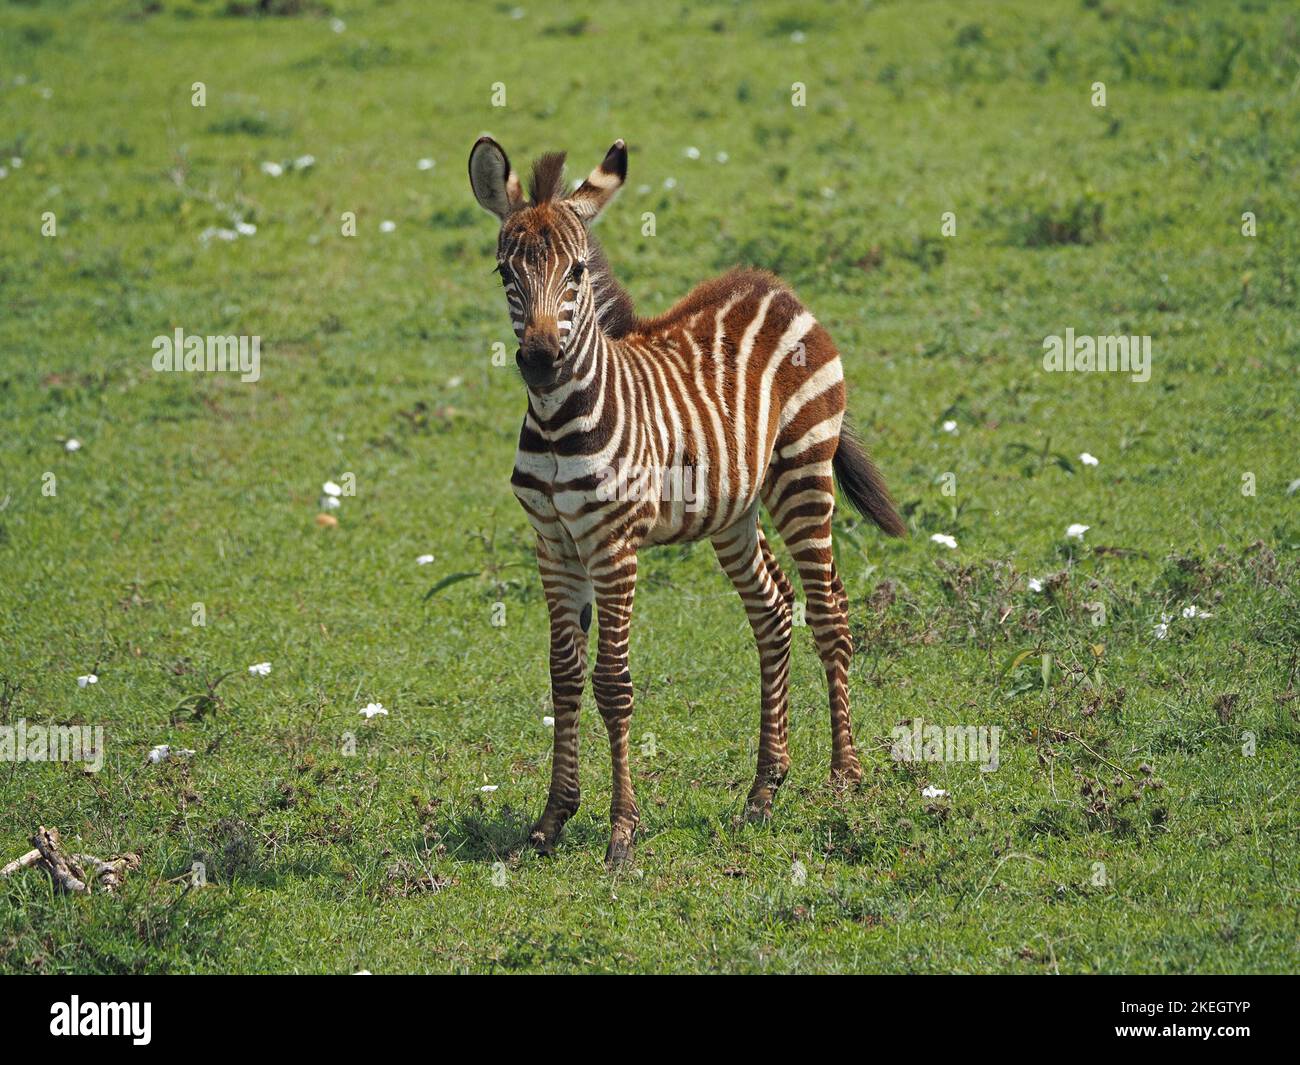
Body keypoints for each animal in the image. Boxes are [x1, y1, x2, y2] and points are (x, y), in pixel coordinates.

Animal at [468, 136, 906, 867]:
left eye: (576, 272)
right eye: (505, 270)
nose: (540, 361)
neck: (559, 423)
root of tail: (776, 287)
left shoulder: (613, 546)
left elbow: (612, 682)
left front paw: (621, 831)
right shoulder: (553, 544)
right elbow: (564, 676)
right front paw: (553, 818)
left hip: (803, 473)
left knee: (829, 610)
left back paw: (845, 775)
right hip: (735, 510)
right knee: (773, 609)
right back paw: (764, 788)